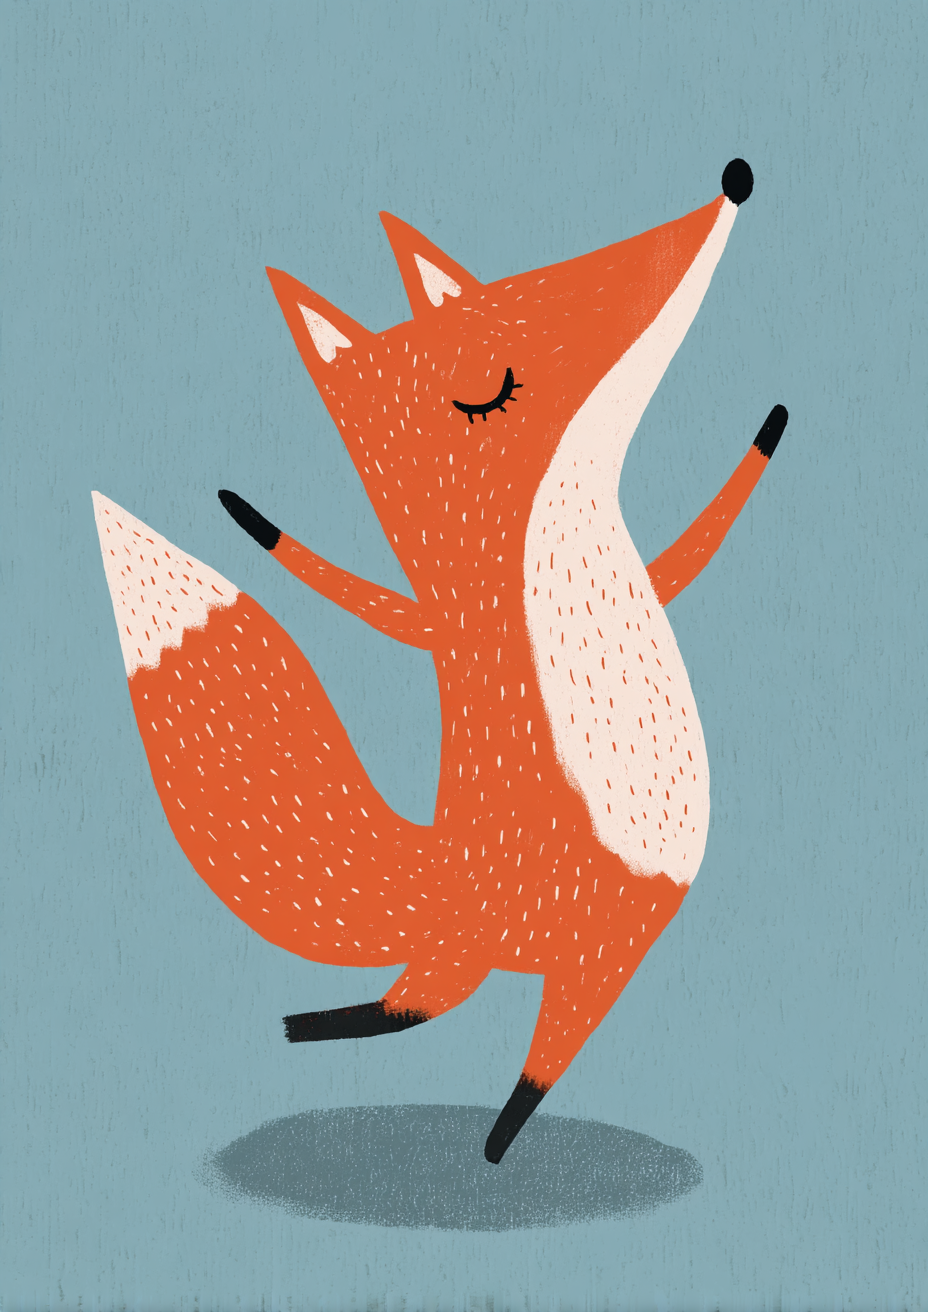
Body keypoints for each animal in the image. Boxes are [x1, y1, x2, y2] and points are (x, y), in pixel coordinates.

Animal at [93, 158, 787, 1164]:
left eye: (521, 288)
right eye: (491, 391)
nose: (733, 180)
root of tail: (453, 877)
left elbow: (701, 536)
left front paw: (772, 427)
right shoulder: (436, 617)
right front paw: (250, 518)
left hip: (593, 943)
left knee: (478, 1021)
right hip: (552, 941)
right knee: (440, 1012)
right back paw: (423, 1095)